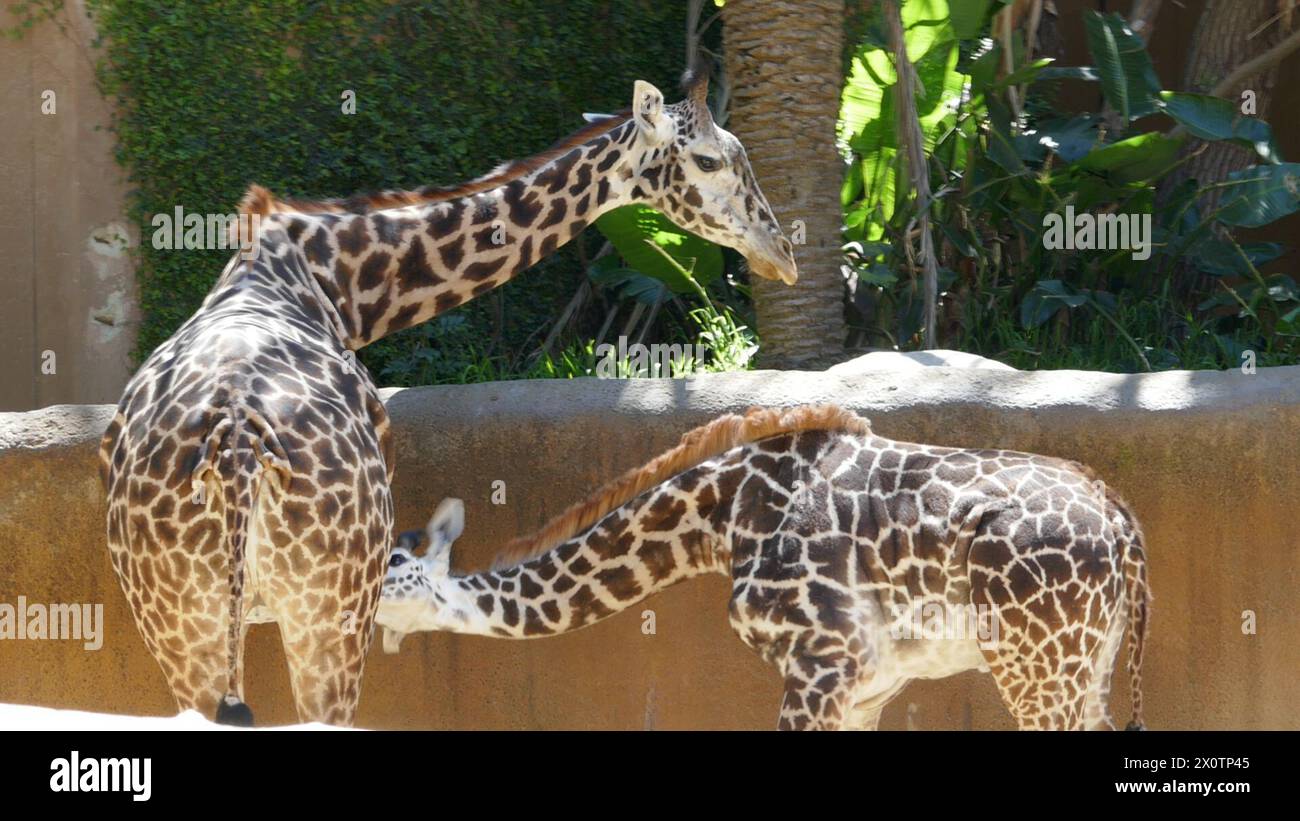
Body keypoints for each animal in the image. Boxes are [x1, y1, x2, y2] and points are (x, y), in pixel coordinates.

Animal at [98, 70, 796, 726]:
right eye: (708, 160)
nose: (783, 251)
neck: (331, 282)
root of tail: (239, 445)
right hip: (329, 611)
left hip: (184, 624)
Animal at [378, 405, 1152, 731]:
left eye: (389, 568)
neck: (718, 522)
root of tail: (1120, 518)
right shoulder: (868, 685)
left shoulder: (820, 662)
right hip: (1090, 660)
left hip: (1034, 663)